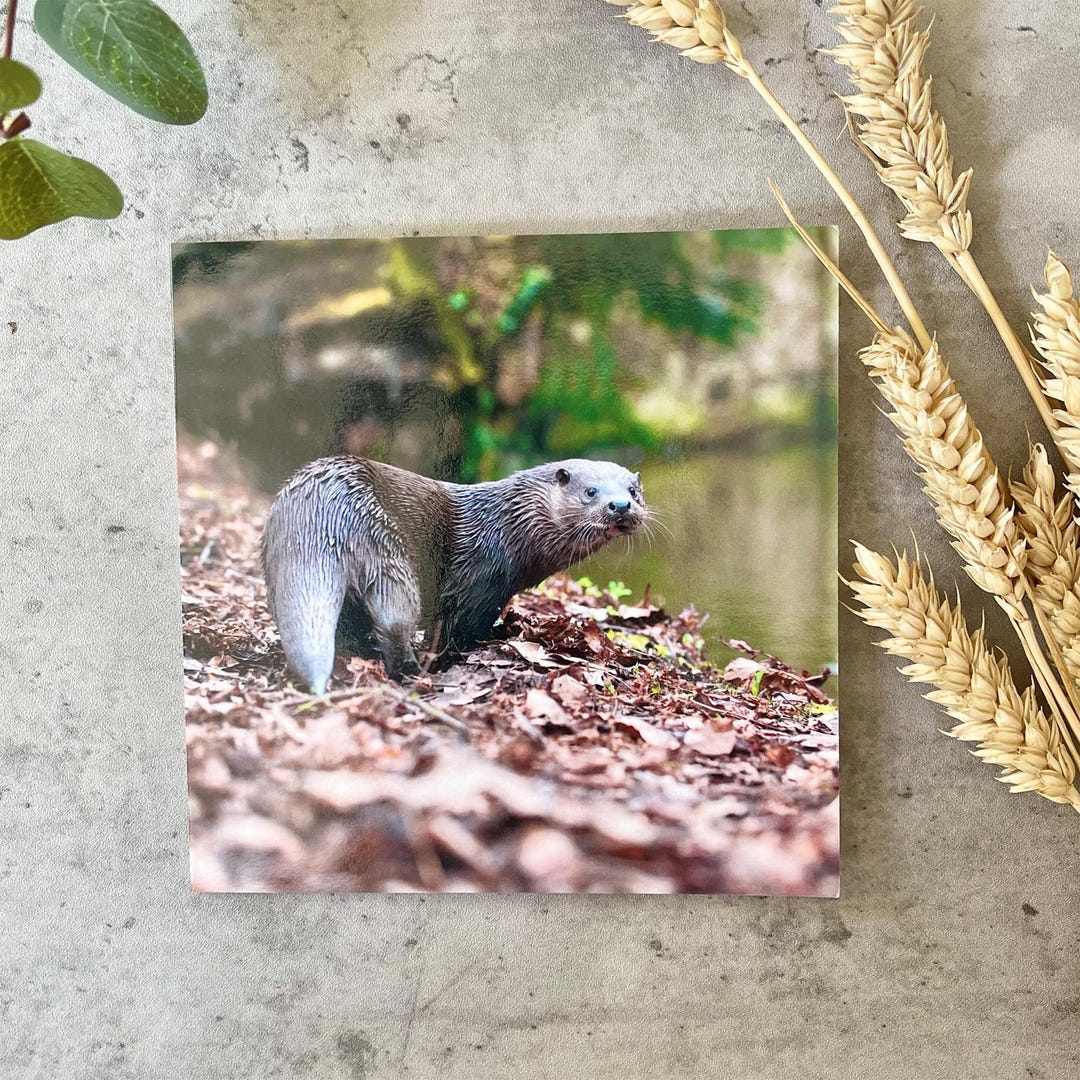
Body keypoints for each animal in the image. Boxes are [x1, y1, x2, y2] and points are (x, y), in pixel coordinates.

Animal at [261, 456, 647, 691]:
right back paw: (411, 671)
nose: (620, 506)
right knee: (394, 619)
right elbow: (457, 629)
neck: (507, 529)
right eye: (590, 491)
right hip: (385, 549)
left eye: (633, 491)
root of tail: (322, 517)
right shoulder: (479, 583)